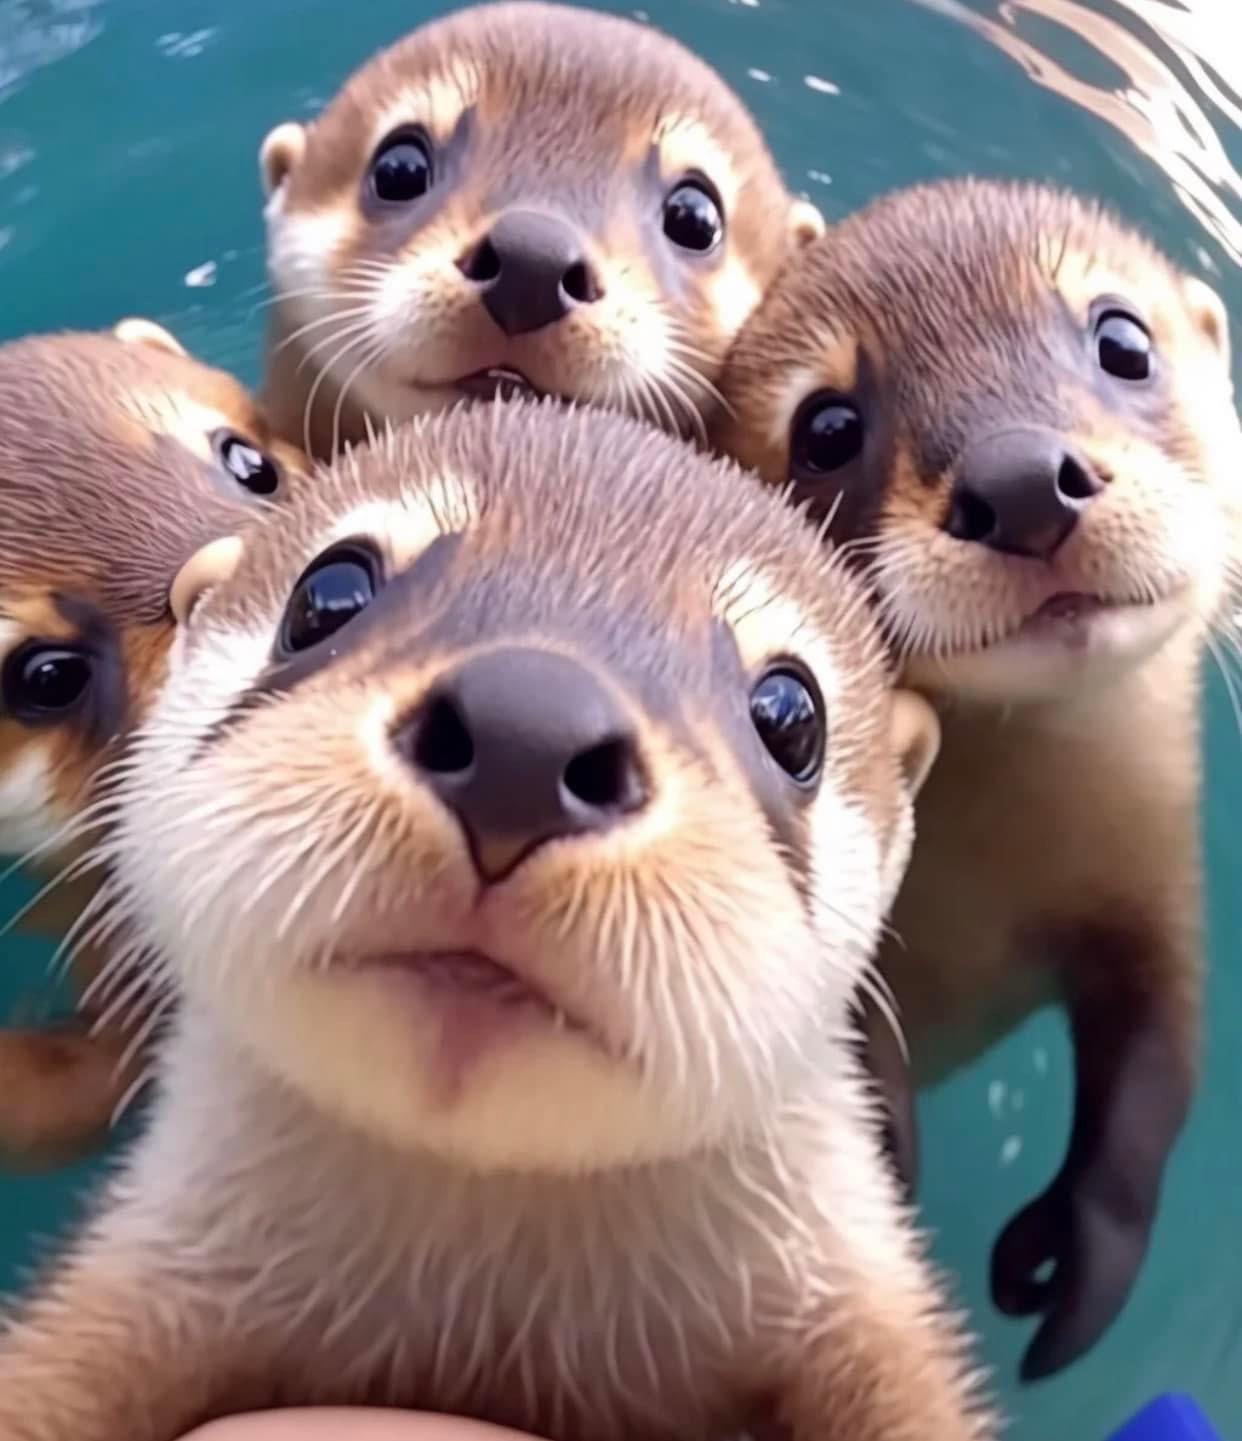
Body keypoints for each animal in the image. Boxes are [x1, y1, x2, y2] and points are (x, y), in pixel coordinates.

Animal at [713, 176, 1242, 1381]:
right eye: (827, 427)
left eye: (1123, 339)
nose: (1021, 477)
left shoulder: (1156, 892)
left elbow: (1157, 1083)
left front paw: (1075, 1256)